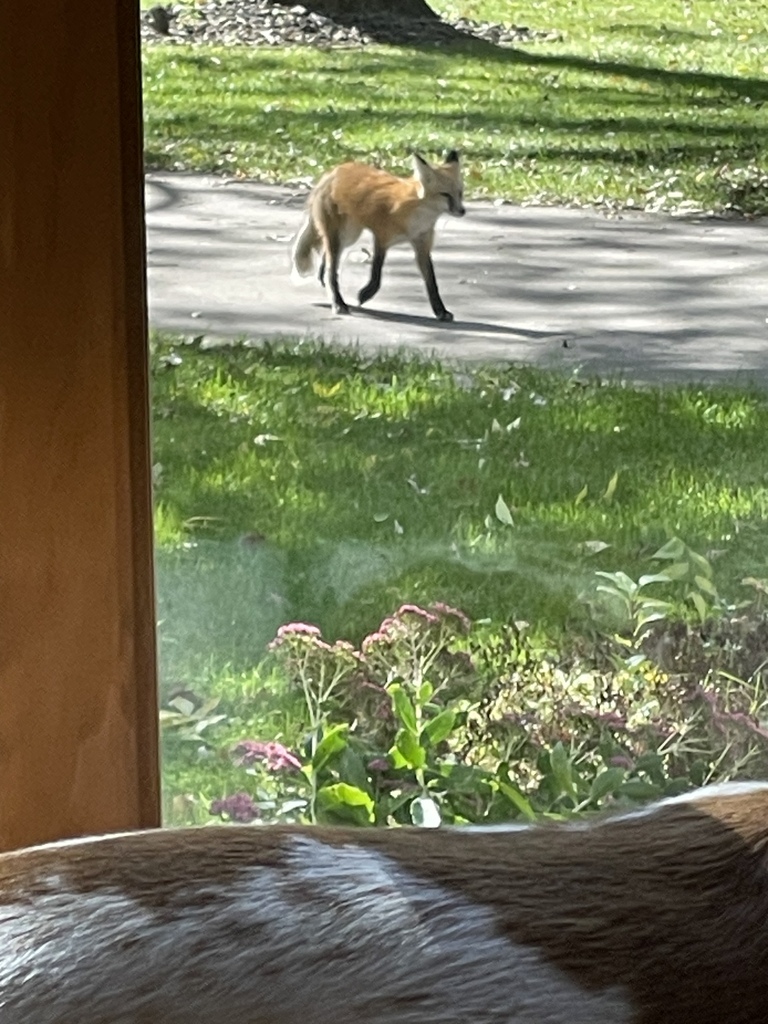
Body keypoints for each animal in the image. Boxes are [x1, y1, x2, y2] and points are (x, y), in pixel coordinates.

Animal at [291, 150, 465, 321]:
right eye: (445, 195)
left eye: (460, 193)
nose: (462, 211)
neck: (417, 216)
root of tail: (333, 172)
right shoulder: (381, 237)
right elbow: (376, 274)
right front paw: (365, 294)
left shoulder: (422, 245)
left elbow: (431, 282)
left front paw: (440, 311)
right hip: (340, 235)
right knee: (331, 271)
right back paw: (338, 303)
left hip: (349, 235)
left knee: (325, 255)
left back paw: (323, 278)